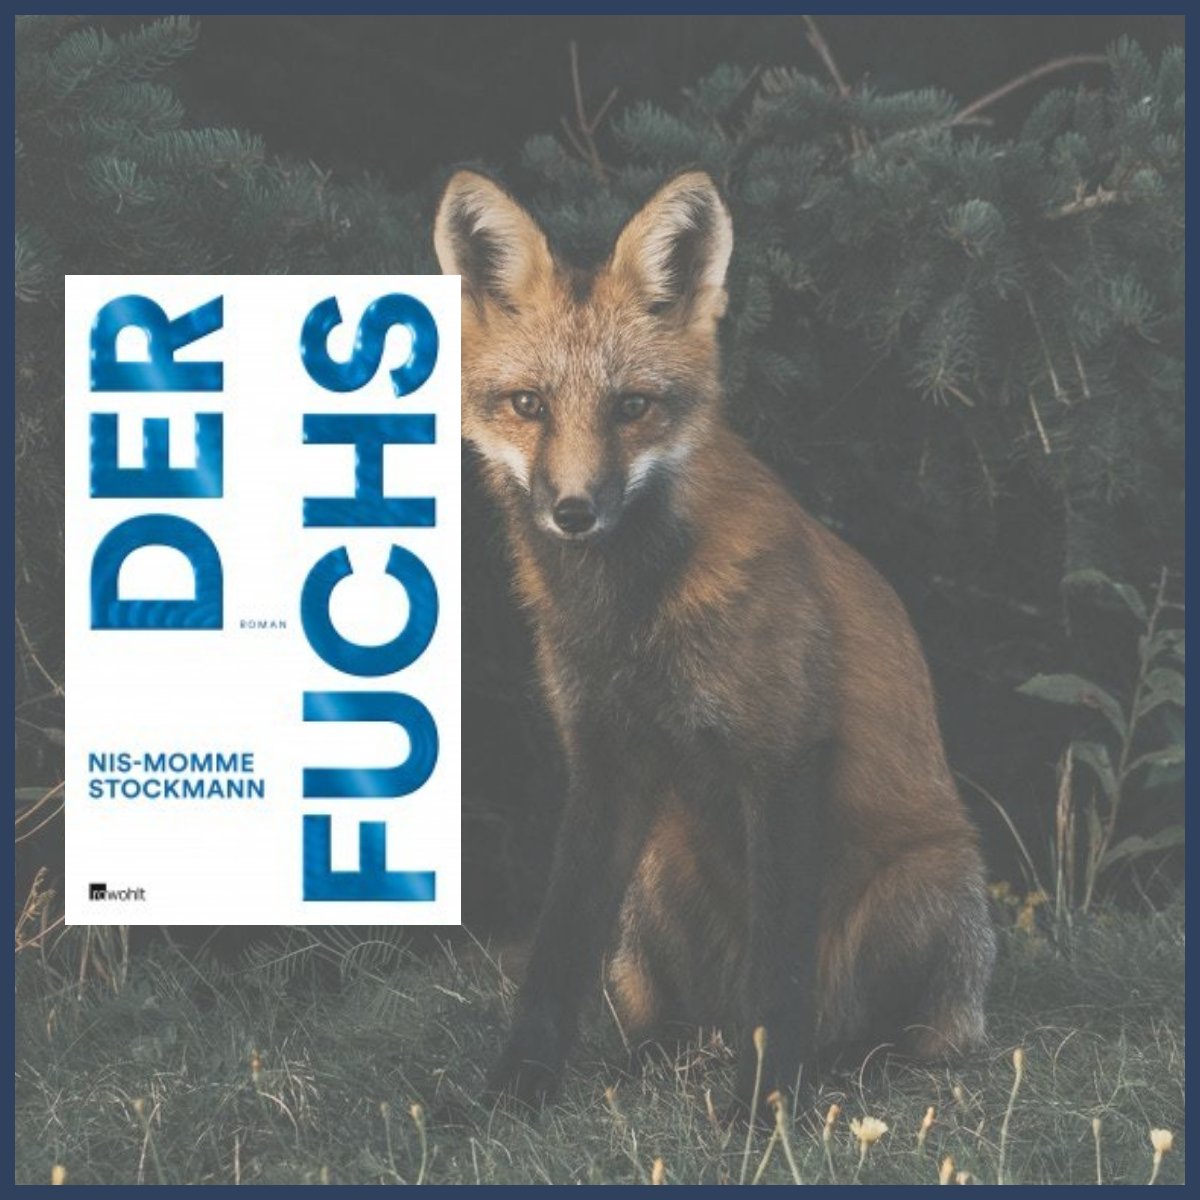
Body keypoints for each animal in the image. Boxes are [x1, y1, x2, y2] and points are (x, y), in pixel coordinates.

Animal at [434, 168, 996, 1114]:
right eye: (528, 406)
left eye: (633, 406)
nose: (574, 511)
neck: (630, 617)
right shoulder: (602, 757)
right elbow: (556, 950)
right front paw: (516, 1090)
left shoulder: (783, 750)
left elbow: (780, 969)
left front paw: (765, 1108)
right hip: (657, 874)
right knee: (674, 1018)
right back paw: (663, 1054)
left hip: (928, 890)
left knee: (901, 1036)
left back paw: (837, 1064)